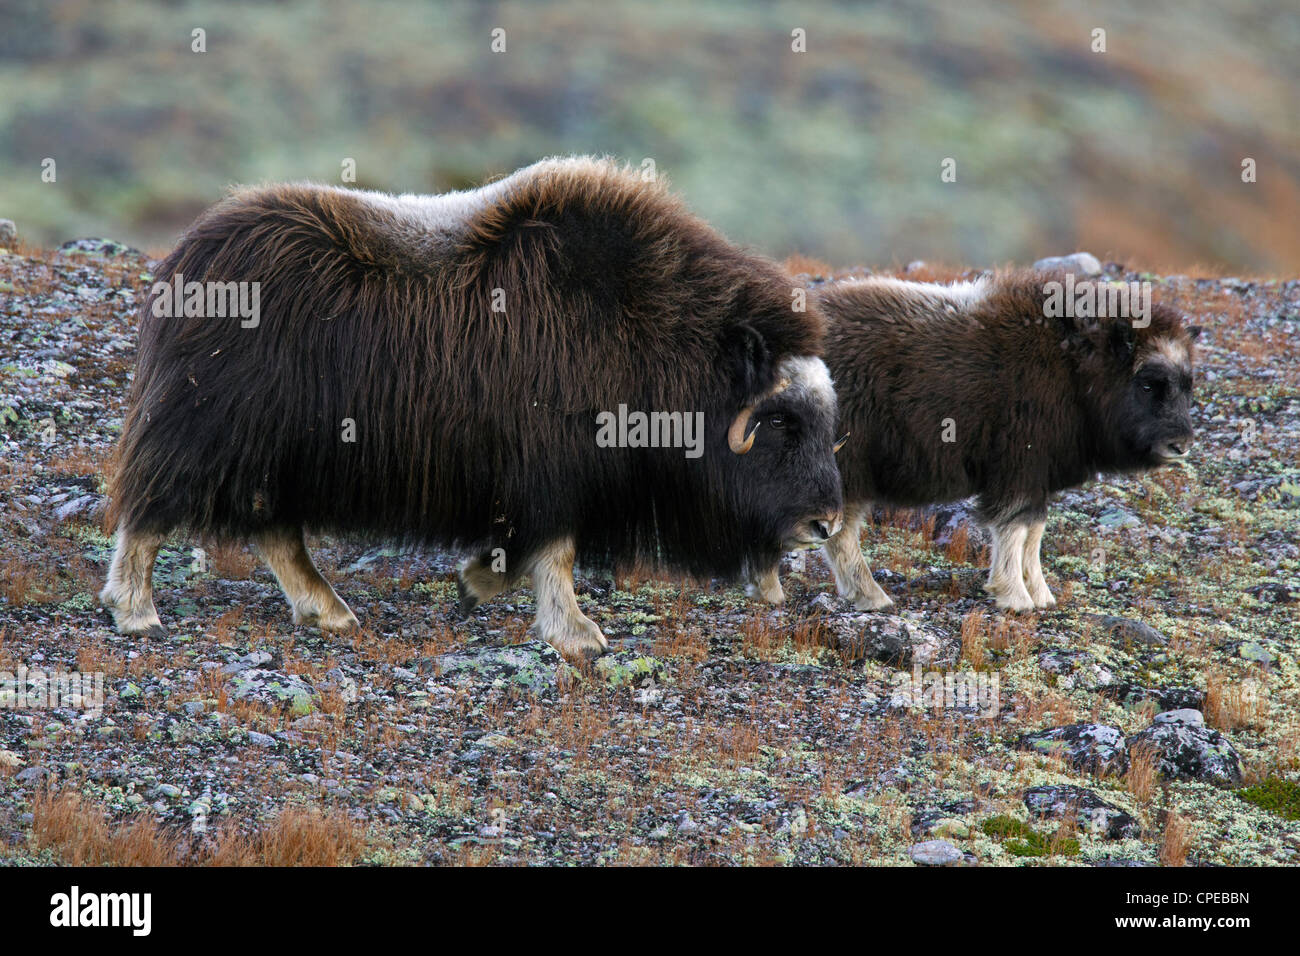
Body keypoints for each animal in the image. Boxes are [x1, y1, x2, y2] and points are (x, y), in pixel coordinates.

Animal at [100, 157, 844, 660]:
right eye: (783, 422)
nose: (826, 524)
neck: (654, 336)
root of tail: (191, 255)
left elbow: (524, 551)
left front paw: (475, 583)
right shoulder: (552, 468)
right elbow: (556, 552)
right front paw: (580, 635)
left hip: (275, 455)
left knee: (275, 531)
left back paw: (332, 612)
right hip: (207, 432)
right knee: (151, 512)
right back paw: (136, 610)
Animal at [748, 270, 1198, 613]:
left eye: (1187, 384)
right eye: (1148, 383)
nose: (1181, 446)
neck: (1074, 369)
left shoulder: (1036, 477)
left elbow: (1034, 532)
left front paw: (1042, 596)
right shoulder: (1018, 469)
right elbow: (1015, 531)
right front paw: (1015, 598)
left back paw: (773, 591)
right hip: (841, 469)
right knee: (836, 533)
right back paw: (868, 597)